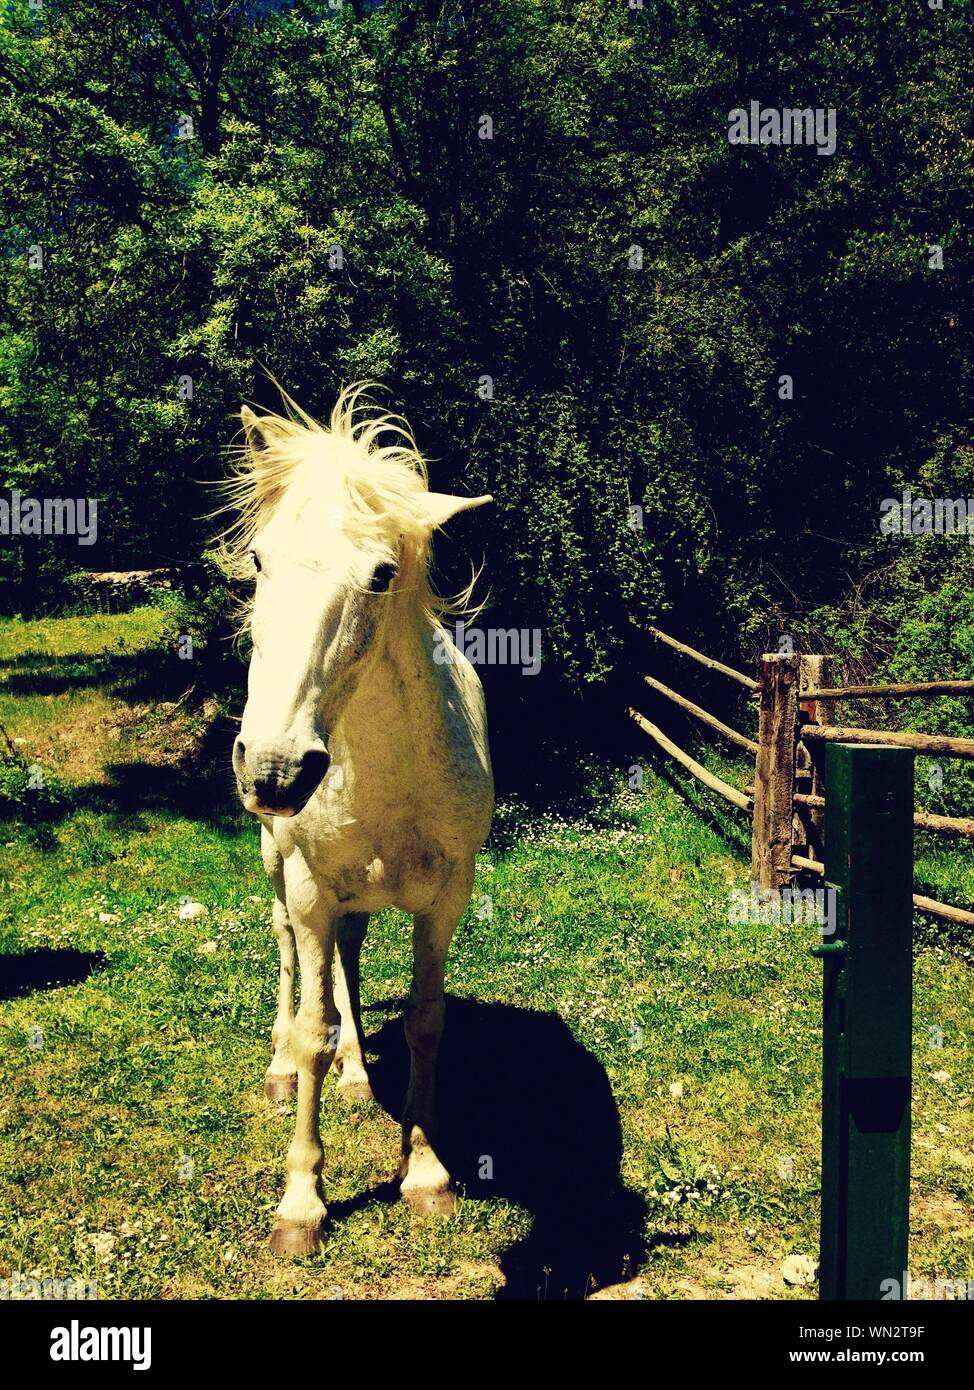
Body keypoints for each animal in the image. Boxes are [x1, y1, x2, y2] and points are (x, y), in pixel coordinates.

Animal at [223, 386, 494, 1255]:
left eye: (381, 573)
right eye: (259, 560)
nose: (275, 771)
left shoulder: (446, 899)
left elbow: (425, 1024)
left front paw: (426, 1172)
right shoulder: (310, 888)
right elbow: (312, 1025)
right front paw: (301, 1204)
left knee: (347, 962)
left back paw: (355, 1076)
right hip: (278, 869)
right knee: (289, 955)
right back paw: (283, 1070)